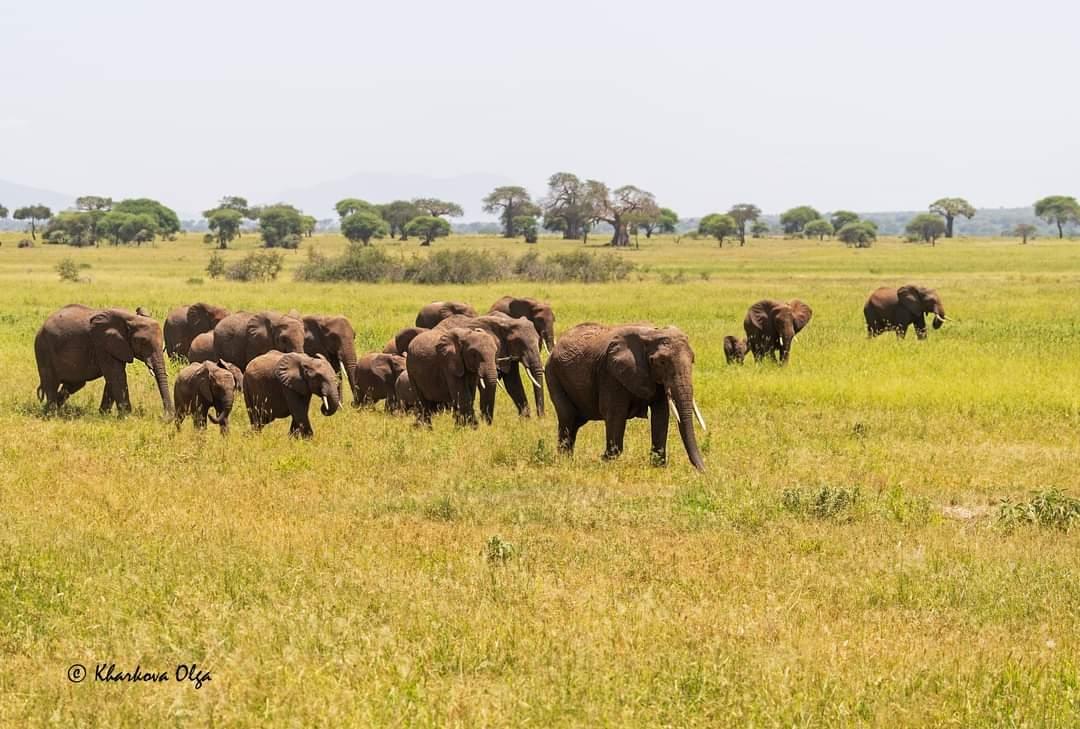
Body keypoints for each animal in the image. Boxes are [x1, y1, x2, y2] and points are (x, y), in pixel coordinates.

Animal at [34, 302, 174, 416]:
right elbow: (116, 375)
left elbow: (114, 377)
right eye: (143, 342)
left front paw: (103, 414)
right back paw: (51, 413)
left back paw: (52, 409)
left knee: (75, 383)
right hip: (43, 349)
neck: (131, 319)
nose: (166, 417)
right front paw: (126, 416)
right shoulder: (103, 344)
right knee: (51, 382)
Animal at [544, 321, 704, 470]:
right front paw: (606, 462)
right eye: (662, 362)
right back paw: (565, 462)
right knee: (568, 418)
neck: (651, 334)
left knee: (574, 423)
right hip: (553, 374)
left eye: (692, 360)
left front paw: (658, 467)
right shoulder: (612, 373)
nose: (704, 471)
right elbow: (616, 414)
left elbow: (661, 414)